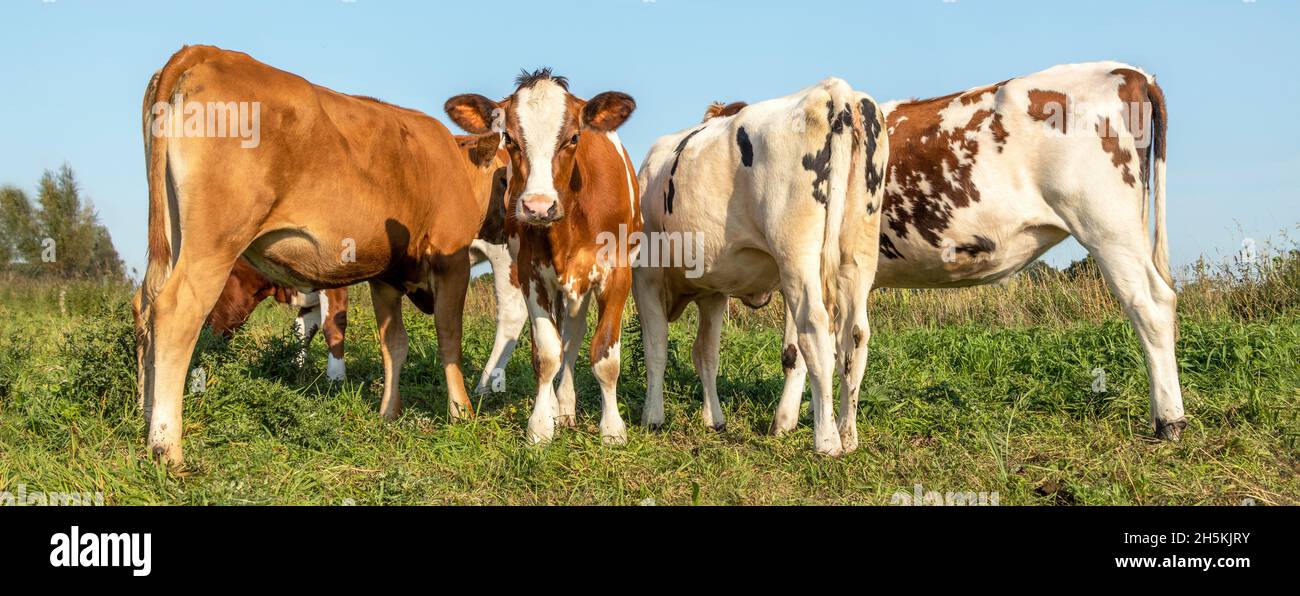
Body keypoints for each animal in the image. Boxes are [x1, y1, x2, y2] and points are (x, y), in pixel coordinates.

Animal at [133, 45, 504, 465]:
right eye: (506, 175)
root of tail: (206, 52)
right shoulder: (449, 262)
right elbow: (449, 336)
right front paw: (461, 414)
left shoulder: (384, 276)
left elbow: (393, 345)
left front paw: (388, 415)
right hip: (214, 241)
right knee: (177, 311)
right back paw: (166, 446)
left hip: (172, 233)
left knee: (145, 305)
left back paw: (145, 419)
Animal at [445, 69, 640, 445]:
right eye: (509, 139)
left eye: (573, 137)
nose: (538, 206)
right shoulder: (531, 274)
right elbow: (547, 354)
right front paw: (540, 425)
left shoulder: (617, 273)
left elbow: (605, 357)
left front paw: (612, 429)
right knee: (560, 342)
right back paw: (557, 409)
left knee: (574, 337)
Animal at [634, 78, 890, 455]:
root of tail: (832, 89)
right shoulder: (714, 290)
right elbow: (706, 352)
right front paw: (714, 420)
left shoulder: (646, 272)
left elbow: (656, 346)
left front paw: (652, 417)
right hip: (857, 252)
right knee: (855, 335)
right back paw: (847, 434)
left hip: (797, 252)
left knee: (815, 328)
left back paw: (826, 440)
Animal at [769, 62, 1186, 441]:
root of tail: (1129, 72)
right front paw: (794, 419)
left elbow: (799, 346)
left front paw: (786, 422)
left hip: (1107, 226)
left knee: (1151, 305)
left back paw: (1170, 420)